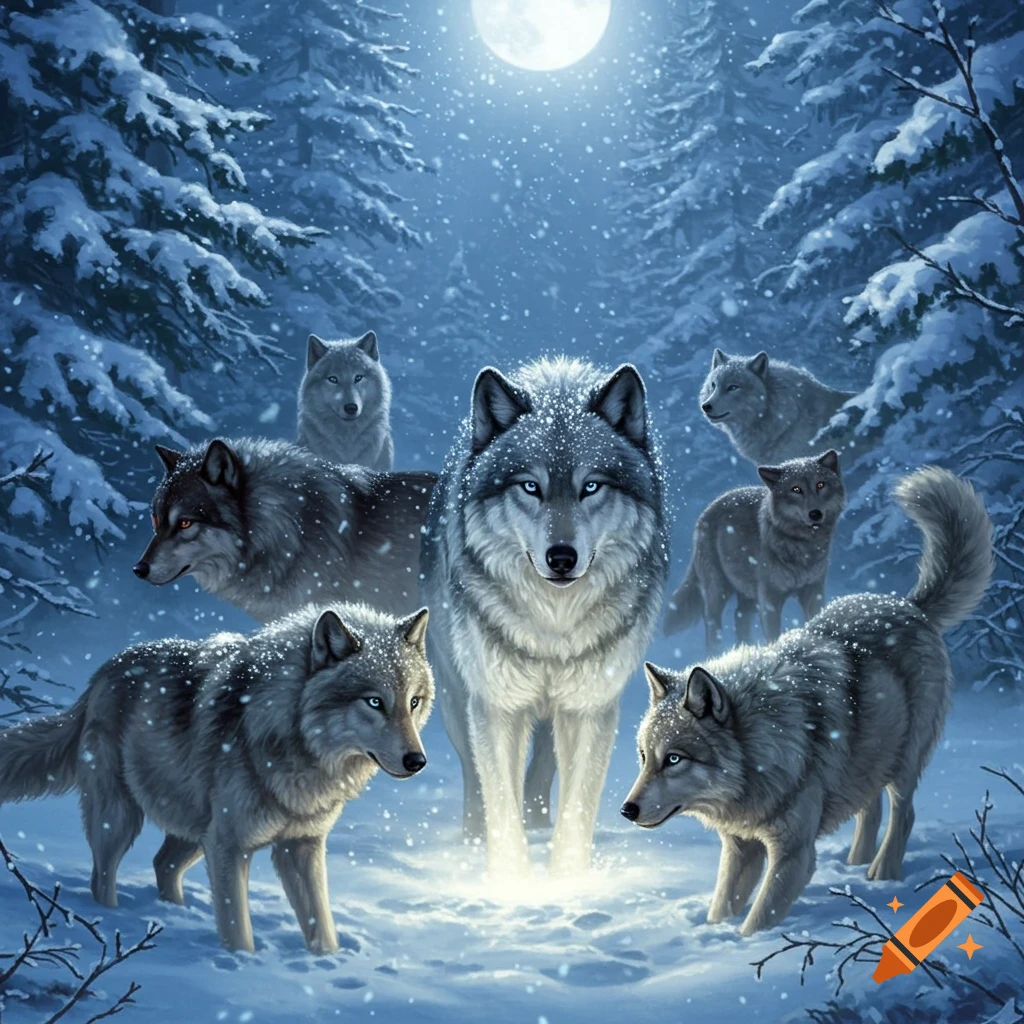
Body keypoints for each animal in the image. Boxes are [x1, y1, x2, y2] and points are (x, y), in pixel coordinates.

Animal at [0, 603, 433, 953]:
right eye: (374, 702)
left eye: (414, 702)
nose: (418, 761)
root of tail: (101, 674)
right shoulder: (230, 847)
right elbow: (237, 928)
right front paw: (241, 968)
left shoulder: (302, 845)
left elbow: (321, 925)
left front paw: (327, 964)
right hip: (123, 818)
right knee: (102, 877)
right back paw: (112, 921)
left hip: (195, 830)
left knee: (162, 864)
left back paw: (173, 915)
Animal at [422, 357, 669, 875]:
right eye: (530, 487)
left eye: (591, 486)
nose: (561, 557)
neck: (554, 627)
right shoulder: (495, 705)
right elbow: (498, 796)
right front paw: (511, 879)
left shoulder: (591, 706)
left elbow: (577, 807)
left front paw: (567, 879)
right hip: (456, 697)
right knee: (474, 776)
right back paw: (474, 836)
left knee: (541, 773)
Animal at [664, 450, 846, 648]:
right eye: (796, 489)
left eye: (820, 485)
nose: (815, 514)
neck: (803, 547)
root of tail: (707, 510)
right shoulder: (769, 599)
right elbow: (773, 634)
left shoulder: (813, 591)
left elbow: (816, 620)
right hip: (718, 589)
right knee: (712, 623)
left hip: (748, 593)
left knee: (739, 616)